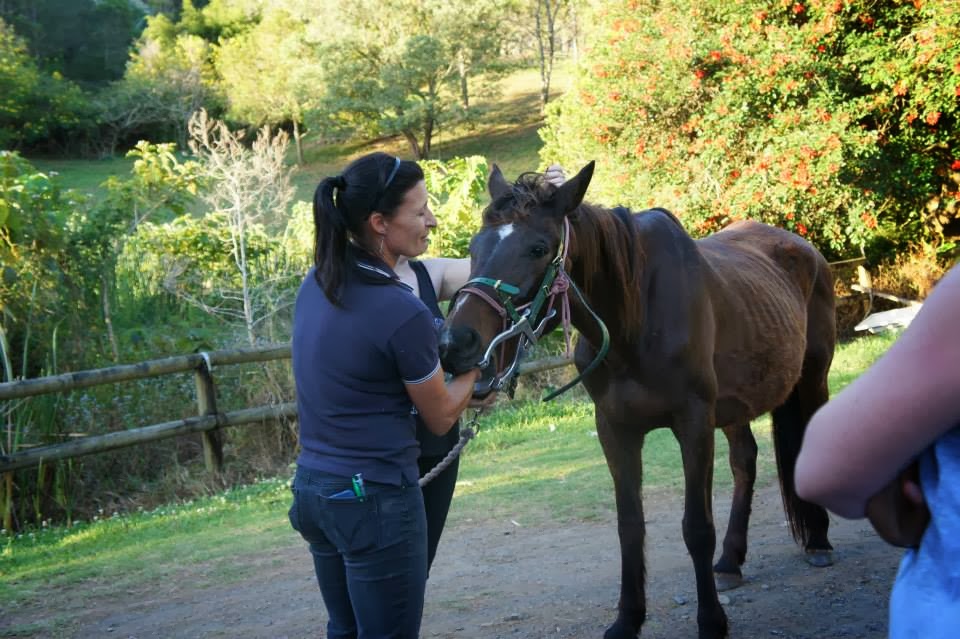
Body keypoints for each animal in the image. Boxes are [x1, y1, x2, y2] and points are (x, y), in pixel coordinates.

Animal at [438, 162, 837, 639]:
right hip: (734, 407)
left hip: (811, 381)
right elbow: (629, 527)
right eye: (474, 248)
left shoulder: (693, 423)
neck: (635, 318)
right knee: (744, 462)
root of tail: (804, 248)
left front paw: (711, 621)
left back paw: (819, 540)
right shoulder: (616, 430)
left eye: (538, 248)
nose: (455, 344)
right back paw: (730, 561)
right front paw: (628, 618)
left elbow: (696, 528)